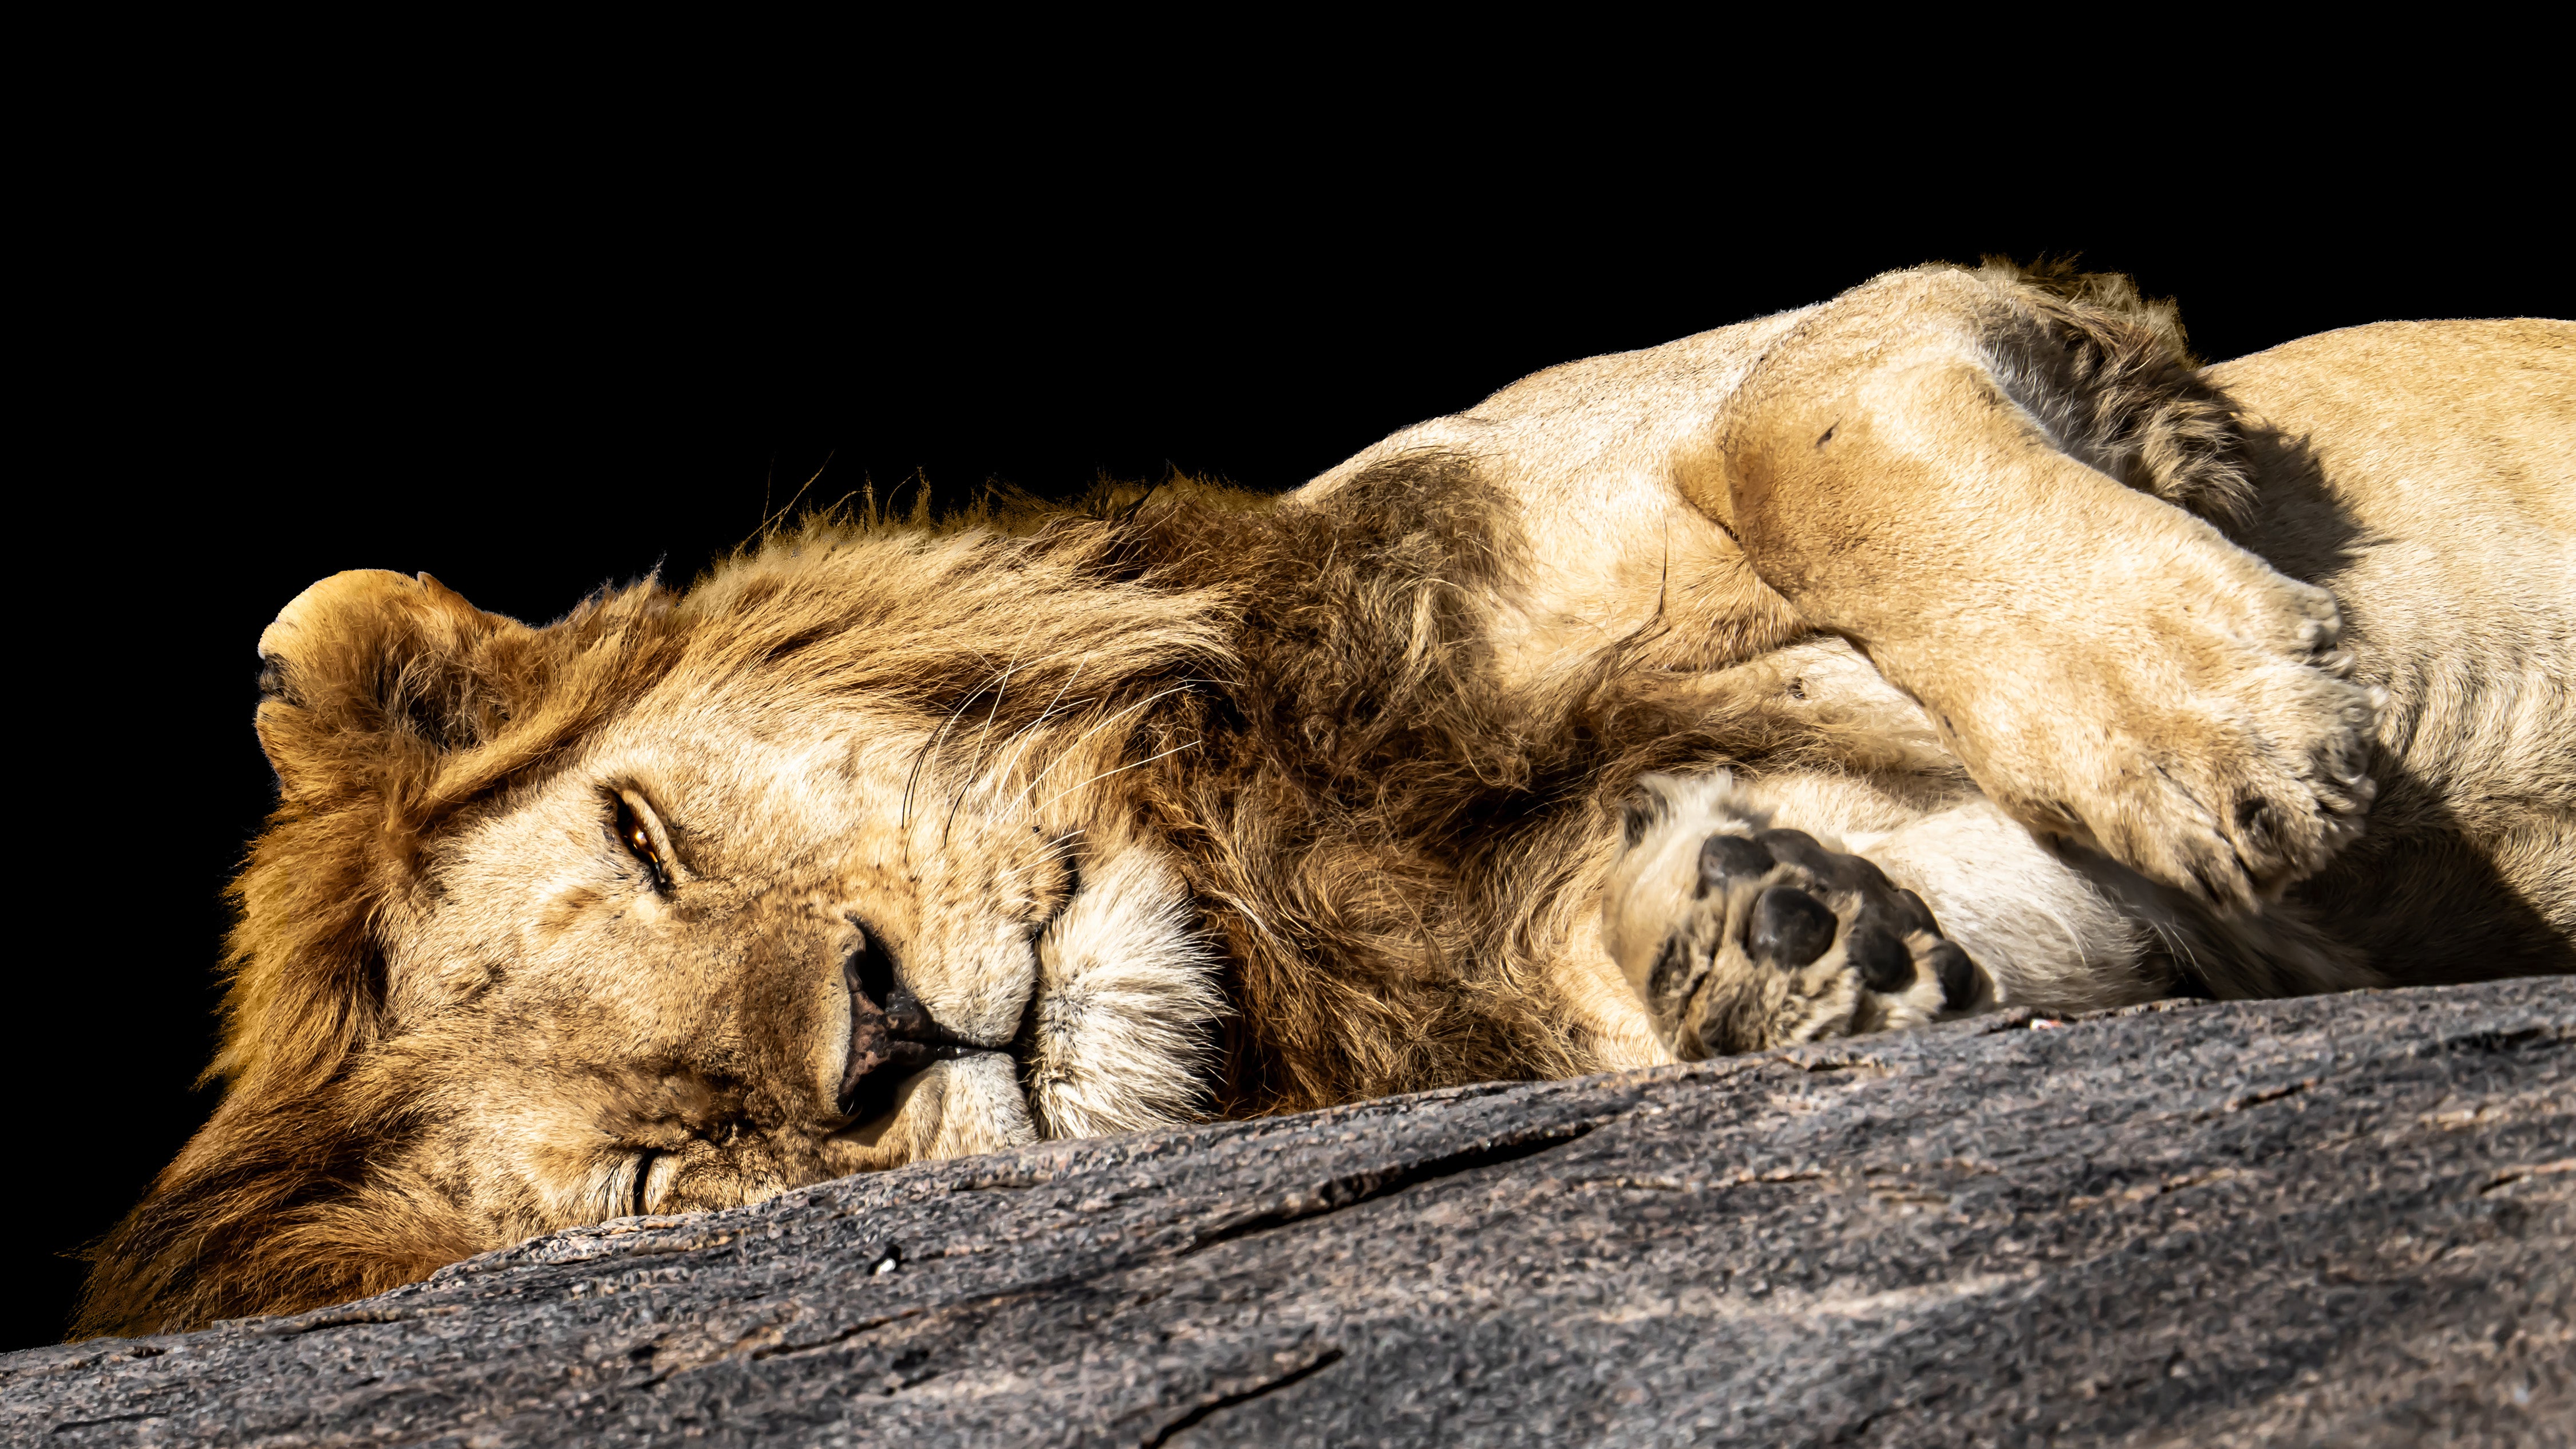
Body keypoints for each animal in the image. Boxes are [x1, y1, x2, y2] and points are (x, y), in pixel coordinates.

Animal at [78, 262, 2572, 1339]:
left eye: (645, 835)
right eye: (655, 1173)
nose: (879, 1031)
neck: (1278, 859)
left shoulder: (1990, 335)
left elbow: (1811, 419)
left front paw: (2227, 728)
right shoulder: (2145, 936)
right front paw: (1776, 942)